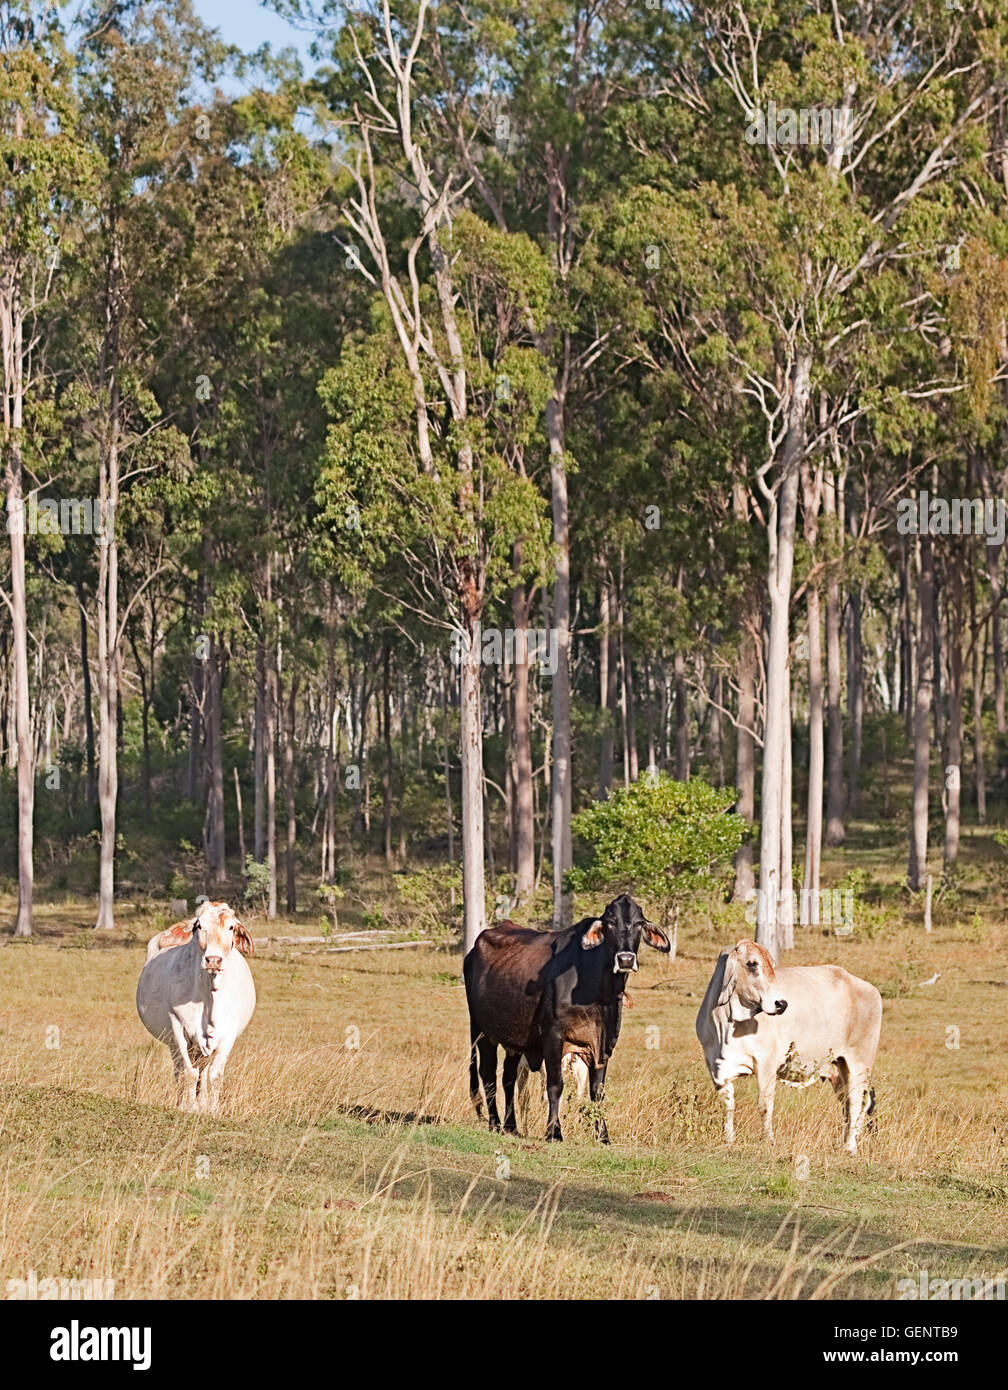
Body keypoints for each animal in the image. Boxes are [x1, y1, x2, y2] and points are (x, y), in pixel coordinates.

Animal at [136, 900, 256, 1114]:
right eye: (199, 926)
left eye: (231, 927)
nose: (213, 960)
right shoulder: (177, 1028)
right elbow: (189, 1073)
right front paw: (189, 1107)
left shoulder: (227, 1035)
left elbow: (215, 1075)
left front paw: (212, 1109)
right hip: (174, 1043)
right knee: (181, 1071)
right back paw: (182, 1102)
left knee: (203, 1070)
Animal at [464, 894, 670, 1143]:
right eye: (610, 923)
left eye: (639, 923)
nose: (626, 960)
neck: (598, 993)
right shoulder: (554, 1036)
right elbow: (555, 1085)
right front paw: (554, 1131)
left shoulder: (602, 1044)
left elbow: (597, 1092)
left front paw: (603, 1135)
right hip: (483, 1032)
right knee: (488, 1076)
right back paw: (495, 1123)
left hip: (514, 1041)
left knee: (508, 1078)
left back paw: (511, 1126)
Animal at [695, 939, 882, 1154]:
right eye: (752, 963)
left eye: (772, 964)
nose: (781, 1003)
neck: (726, 1024)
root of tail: (869, 988)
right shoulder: (716, 1069)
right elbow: (728, 1105)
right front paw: (729, 1139)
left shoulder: (766, 1064)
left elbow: (764, 1105)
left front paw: (768, 1141)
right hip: (839, 1067)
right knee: (849, 1105)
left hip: (859, 1064)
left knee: (856, 1103)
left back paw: (850, 1147)